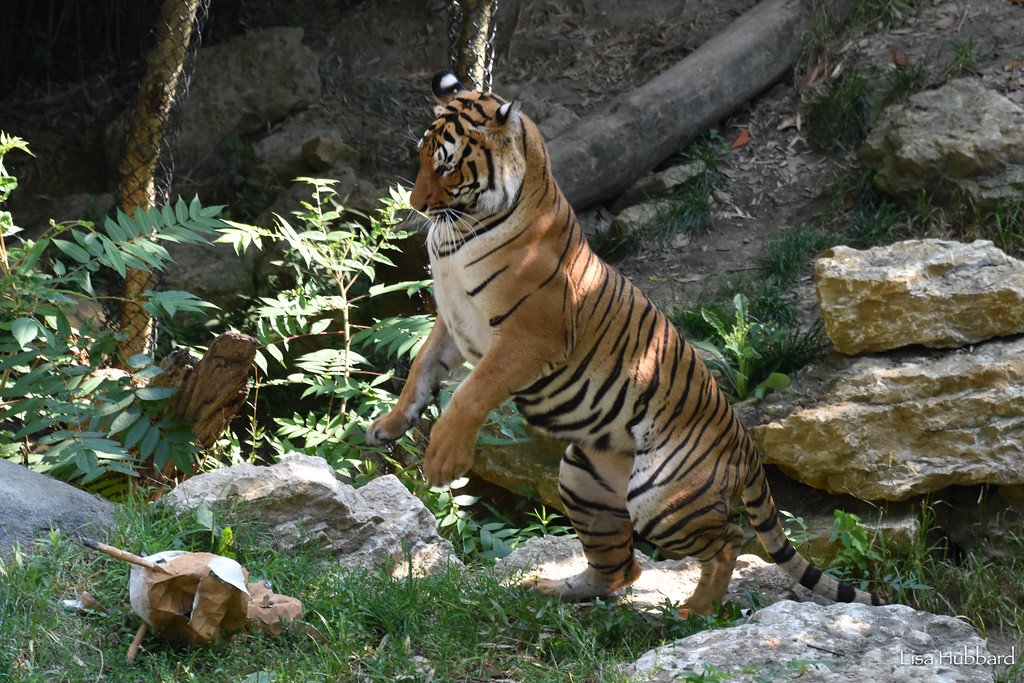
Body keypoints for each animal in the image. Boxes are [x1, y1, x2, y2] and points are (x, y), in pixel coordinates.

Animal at [365, 69, 883, 614]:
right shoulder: (450, 321)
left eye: (445, 165)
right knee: (622, 567)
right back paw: (555, 589)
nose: (415, 206)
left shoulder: (529, 336)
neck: (455, 238)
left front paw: (442, 460)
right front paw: (388, 427)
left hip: (661, 499)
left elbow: (470, 393)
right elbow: (419, 371)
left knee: (730, 541)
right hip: (584, 480)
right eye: (421, 157)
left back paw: (694, 612)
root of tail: (746, 447)